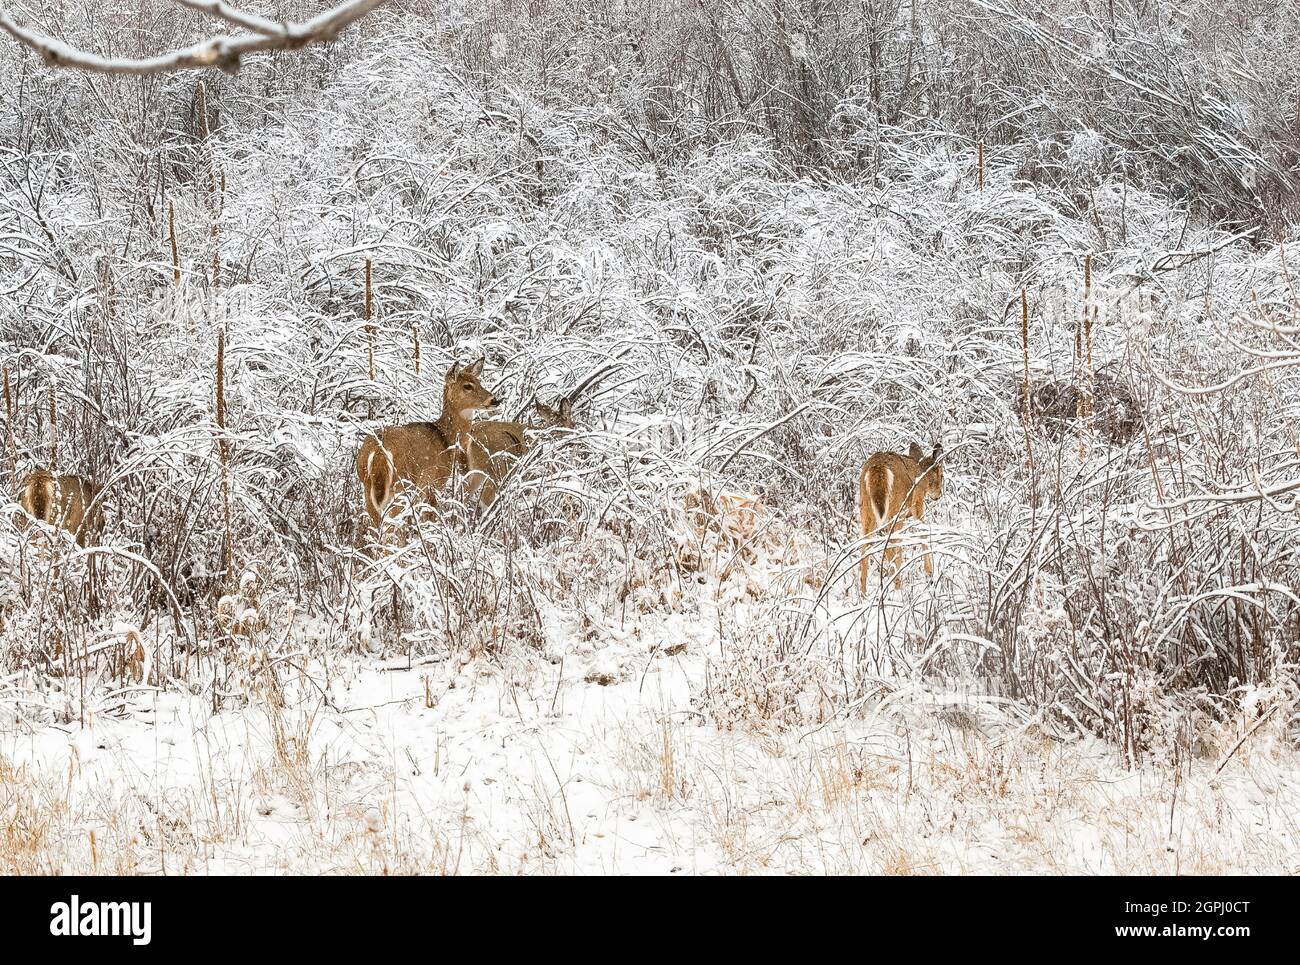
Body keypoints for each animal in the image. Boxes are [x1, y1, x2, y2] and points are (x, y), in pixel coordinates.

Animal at [858, 442, 943, 592]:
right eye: (942, 476)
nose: (939, 495)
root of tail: (878, 469)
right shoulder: (917, 502)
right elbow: (922, 534)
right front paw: (929, 574)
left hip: (866, 508)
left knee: (865, 545)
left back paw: (863, 593)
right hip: (895, 508)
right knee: (890, 544)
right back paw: (898, 585)